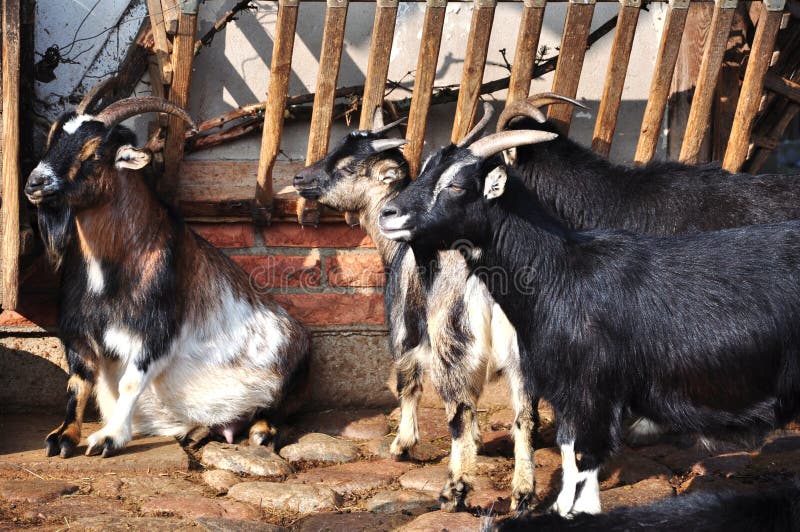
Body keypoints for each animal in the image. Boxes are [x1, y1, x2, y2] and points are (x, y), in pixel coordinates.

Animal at [24, 93, 310, 458]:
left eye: (96, 153)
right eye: (54, 140)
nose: (35, 183)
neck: (110, 269)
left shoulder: (156, 331)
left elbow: (130, 381)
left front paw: (109, 437)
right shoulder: (78, 330)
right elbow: (78, 382)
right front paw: (62, 436)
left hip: (293, 380)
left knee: (277, 410)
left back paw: (263, 432)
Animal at [293, 108, 536, 511]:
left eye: (347, 166)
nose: (299, 178)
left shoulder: (403, 329)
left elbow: (407, 381)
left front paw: (402, 445)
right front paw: (479, 442)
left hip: (450, 342)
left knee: (457, 411)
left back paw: (454, 491)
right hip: (525, 353)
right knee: (525, 416)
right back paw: (523, 494)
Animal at [379, 128, 800, 516]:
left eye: (456, 185)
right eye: (425, 172)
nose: (389, 213)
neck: (561, 273)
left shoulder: (593, 390)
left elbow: (584, 462)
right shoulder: (563, 390)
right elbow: (567, 451)